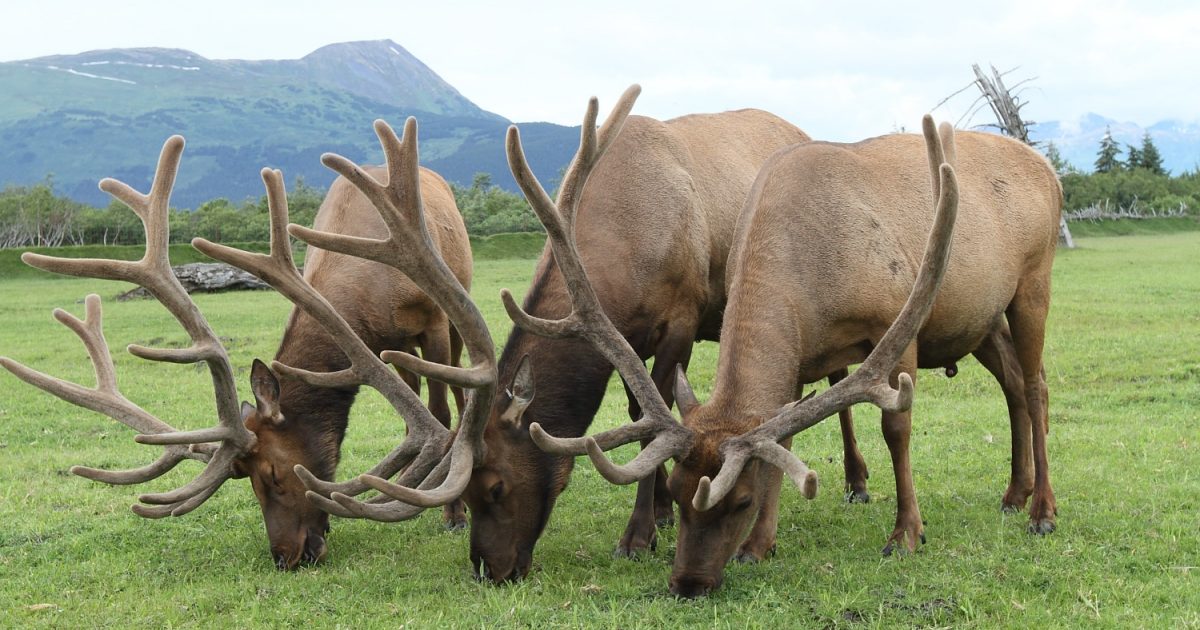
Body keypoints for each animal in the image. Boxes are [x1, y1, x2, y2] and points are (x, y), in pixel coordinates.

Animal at [0, 120, 494, 571]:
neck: (368, 292)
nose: (285, 556)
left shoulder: (432, 323)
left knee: (455, 394)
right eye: (246, 478)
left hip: (451, 313)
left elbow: (440, 414)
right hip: (405, 350)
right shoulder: (382, 345)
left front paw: (451, 510)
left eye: (274, 474)